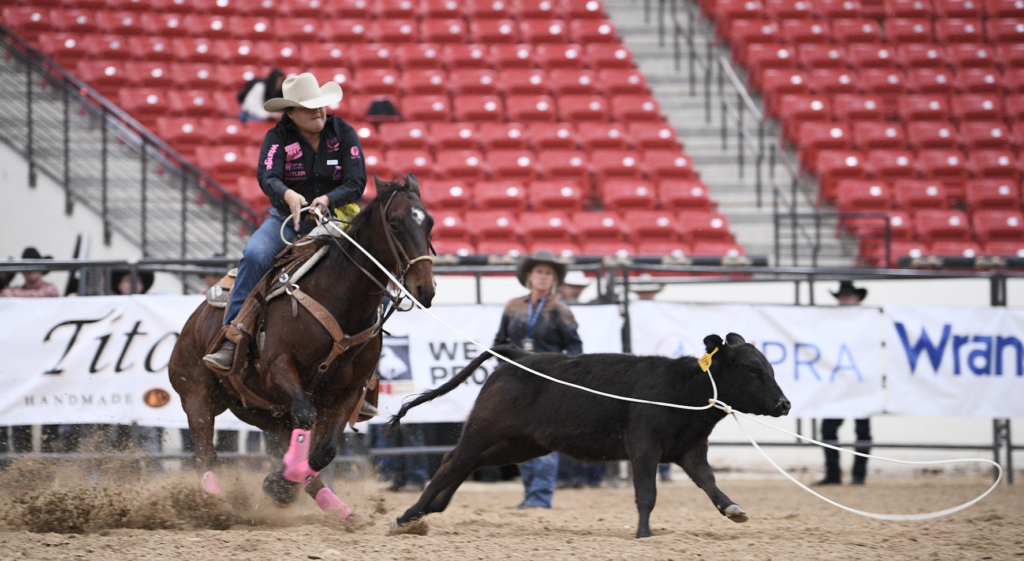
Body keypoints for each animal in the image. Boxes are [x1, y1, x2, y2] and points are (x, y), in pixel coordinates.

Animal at [386, 333, 791, 539]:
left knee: (467, 463)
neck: (683, 389)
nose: (784, 404)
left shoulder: (690, 448)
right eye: (754, 371)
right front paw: (643, 532)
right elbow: (647, 493)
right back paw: (407, 515)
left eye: (769, 368)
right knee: (452, 462)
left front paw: (732, 509)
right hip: (485, 427)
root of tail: (521, 356)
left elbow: (709, 482)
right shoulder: (644, 446)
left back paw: (430, 509)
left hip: (521, 444)